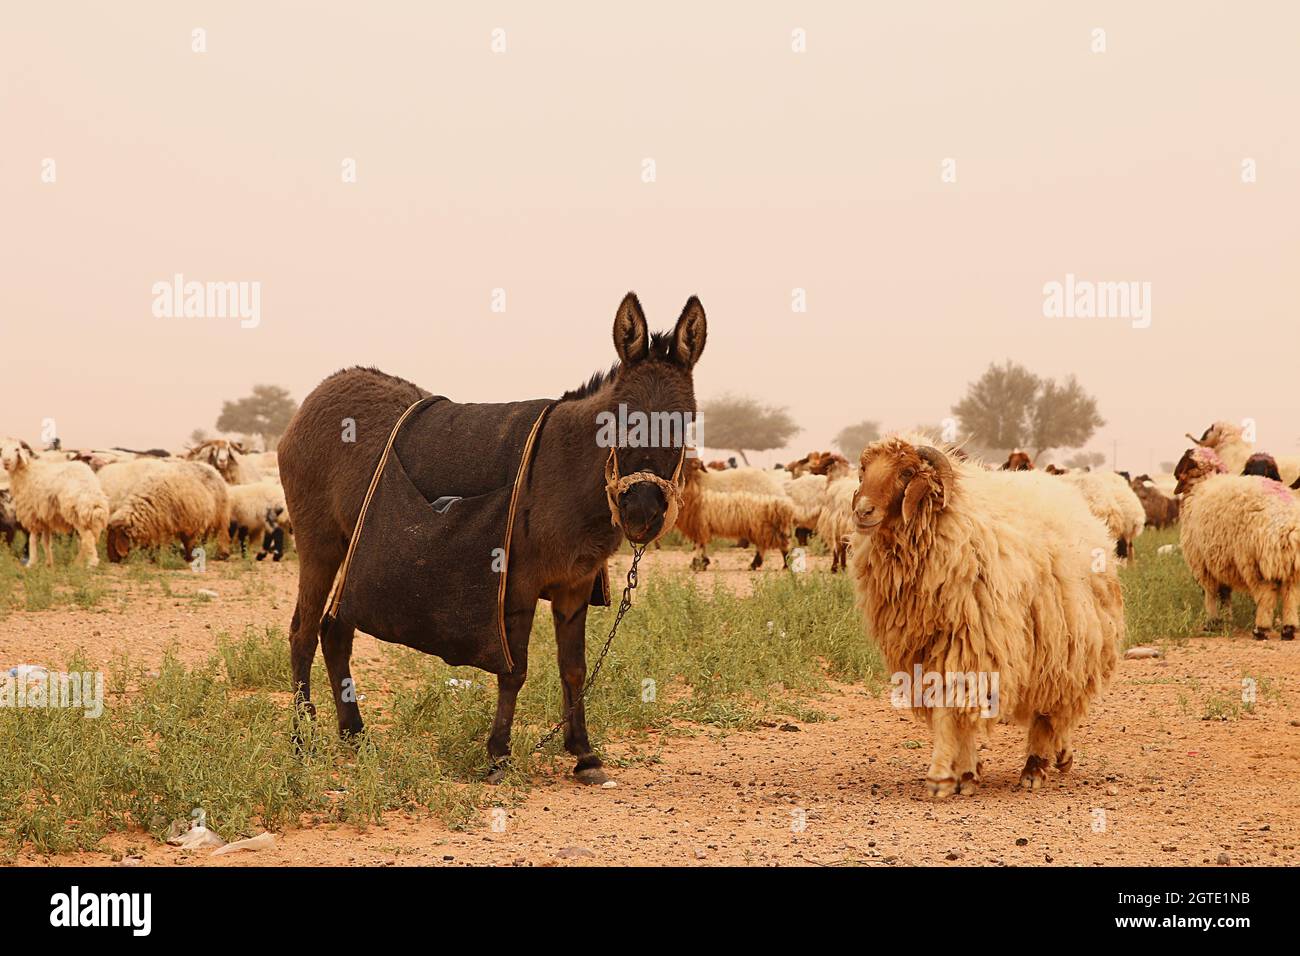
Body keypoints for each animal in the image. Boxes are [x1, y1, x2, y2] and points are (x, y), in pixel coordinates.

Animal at [0, 438, 110, 568]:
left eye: (16, 449)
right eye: (2, 449)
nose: (6, 462)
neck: (27, 471)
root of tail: (93, 493)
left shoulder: (33, 513)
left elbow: (32, 539)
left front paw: (31, 563)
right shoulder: (45, 517)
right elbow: (46, 542)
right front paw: (49, 564)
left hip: (77, 514)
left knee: (87, 539)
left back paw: (91, 564)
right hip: (87, 518)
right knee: (86, 540)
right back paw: (77, 563)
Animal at [849, 436, 1124, 797]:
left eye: (906, 472)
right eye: (864, 469)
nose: (862, 511)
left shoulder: (971, 643)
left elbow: (951, 709)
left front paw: (943, 776)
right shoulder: (925, 650)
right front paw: (966, 770)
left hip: (1064, 644)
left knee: (1050, 711)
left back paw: (1035, 766)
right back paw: (1061, 755)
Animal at [1174, 446, 1300, 641]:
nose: (1174, 473)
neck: (1202, 484)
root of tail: (1288, 524)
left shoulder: (1202, 562)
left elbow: (1210, 593)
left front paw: (1212, 622)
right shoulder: (1219, 560)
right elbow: (1225, 592)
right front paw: (1226, 619)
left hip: (1254, 561)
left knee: (1266, 595)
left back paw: (1261, 629)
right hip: (1290, 567)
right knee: (1290, 595)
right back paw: (1288, 629)